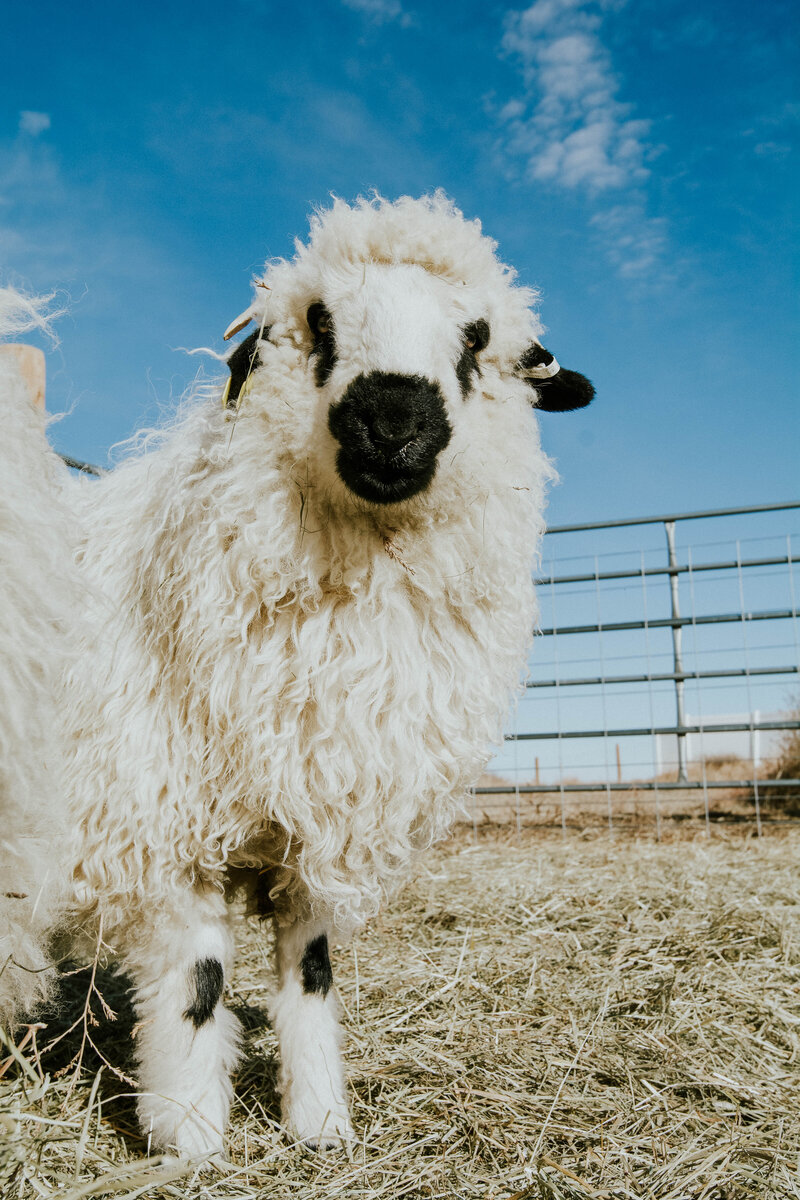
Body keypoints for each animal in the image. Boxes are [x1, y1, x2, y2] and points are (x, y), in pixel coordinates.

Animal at [0, 193, 593, 1160]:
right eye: (320, 320)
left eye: (475, 338)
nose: (391, 419)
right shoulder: (171, 820)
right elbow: (199, 983)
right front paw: (192, 1137)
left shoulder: (319, 824)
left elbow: (312, 975)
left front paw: (321, 1126)